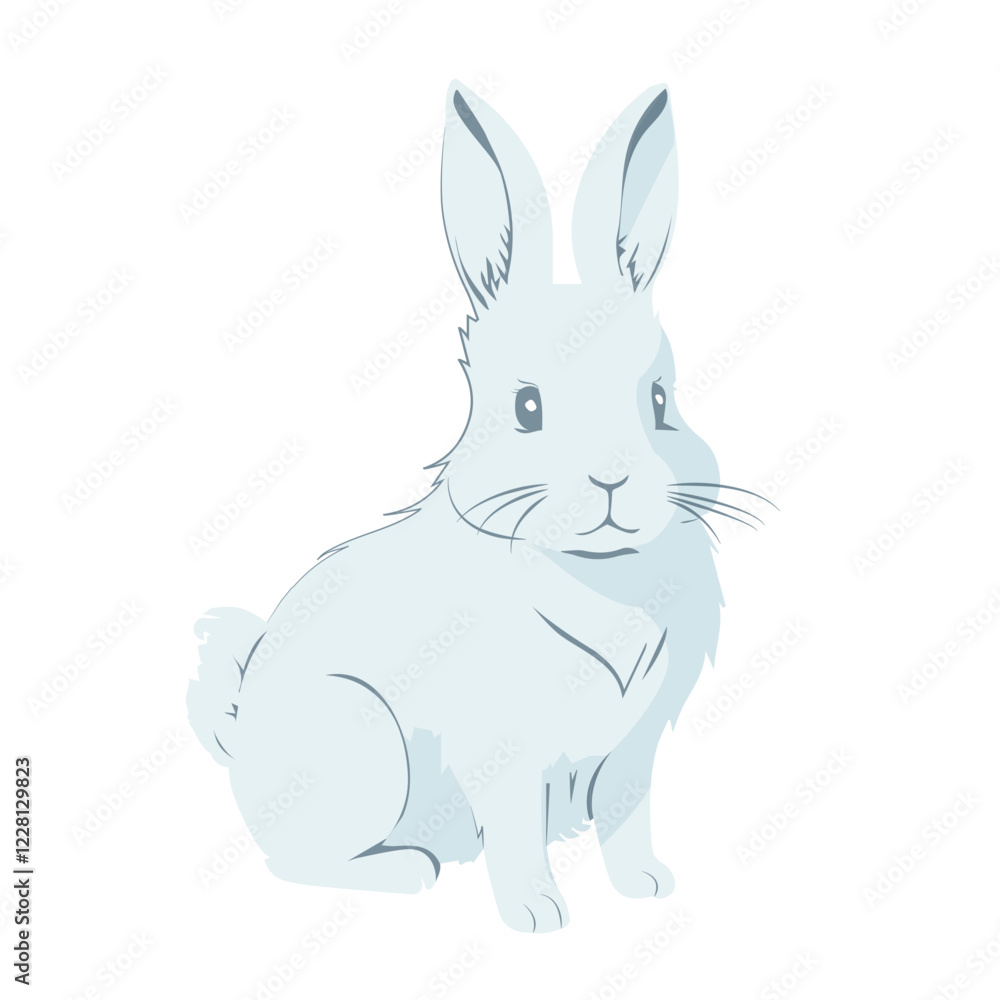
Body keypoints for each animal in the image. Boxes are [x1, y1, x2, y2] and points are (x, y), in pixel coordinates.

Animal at [188, 80, 764, 933]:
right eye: (526, 408)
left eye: (661, 400)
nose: (613, 480)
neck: (594, 568)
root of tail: (237, 746)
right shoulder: (504, 753)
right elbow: (518, 830)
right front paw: (538, 917)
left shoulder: (632, 754)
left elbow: (627, 818)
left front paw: (648, 886)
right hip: (363, 748)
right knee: (296, 863)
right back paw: (412, 870)